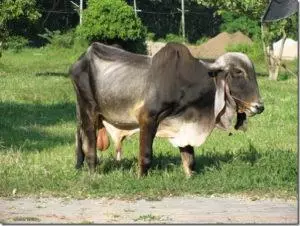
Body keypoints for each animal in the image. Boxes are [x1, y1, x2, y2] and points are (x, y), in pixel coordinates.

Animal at [69, 42, 264, 177]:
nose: (259, 106)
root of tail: (81, 59)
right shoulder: (147, 118)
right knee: (89, 143)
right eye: (238, 72)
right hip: (88, 109)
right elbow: (146, 154)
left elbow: (189, 157)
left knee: (79, 136)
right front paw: (140, 177)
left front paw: (189, 176)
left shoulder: (185, 124)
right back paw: (92, 172)